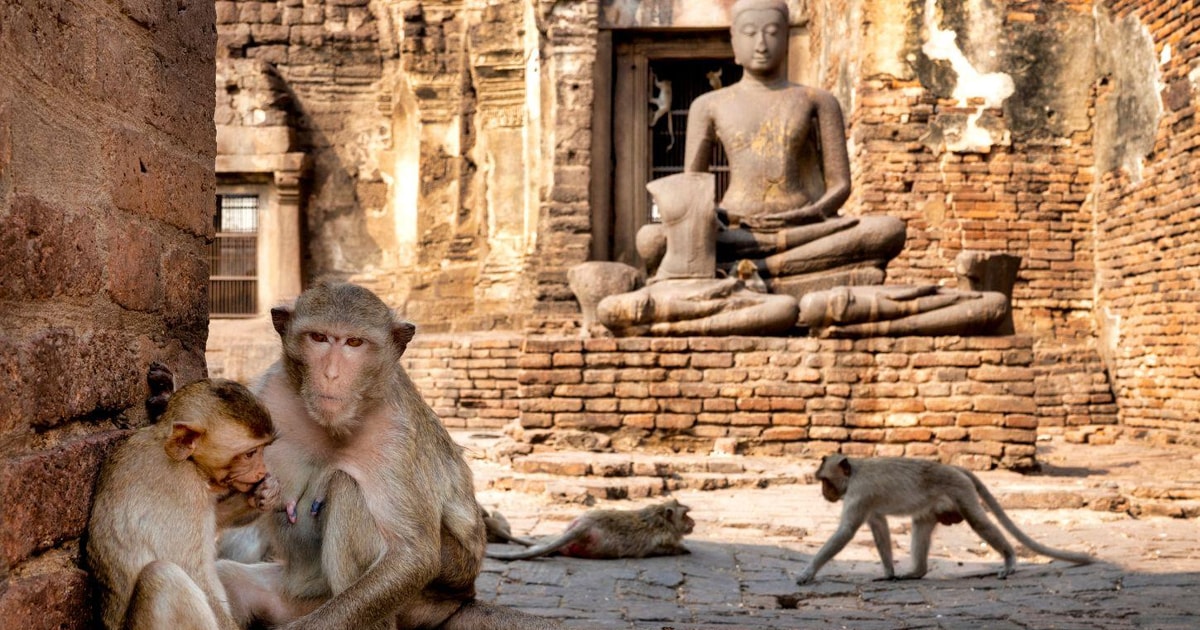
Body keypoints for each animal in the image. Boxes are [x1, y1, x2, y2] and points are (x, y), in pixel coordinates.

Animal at [87, 379, 278, 630]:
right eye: (250, 453)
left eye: (263, 450)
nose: (261, 471)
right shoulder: (181, 486)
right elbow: (191, 570)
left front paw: (264, 493)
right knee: (161, 575)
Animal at [208, 280, 562, 629]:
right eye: (319, 338)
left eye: (354, 343)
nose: (331, 374)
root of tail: (464, 597)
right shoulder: (268, 397)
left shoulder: (395, 433)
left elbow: (412, 554)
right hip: (295, 598)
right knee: (230, 578)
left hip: (426, 600)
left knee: (347, 489)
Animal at [486, 499, 694, 561]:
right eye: (685, 515)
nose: (693, 523)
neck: (660, 517)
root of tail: (585, 524)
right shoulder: (664, 538)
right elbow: (667, 548)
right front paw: (684, 549)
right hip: (599, 547)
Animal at [795, 455, 1095, 584]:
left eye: (825, 480)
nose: (824, 493)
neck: (855, 471)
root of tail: (953, 467)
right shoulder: (867, 503)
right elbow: (879, 524)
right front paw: (889, 572)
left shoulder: (859, 494)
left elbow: (846, 531)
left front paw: (808, 572)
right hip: (935, 506)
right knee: (921, 524)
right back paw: (916, 572)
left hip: (960, 491)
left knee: (978, 521)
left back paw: (1010, 559)